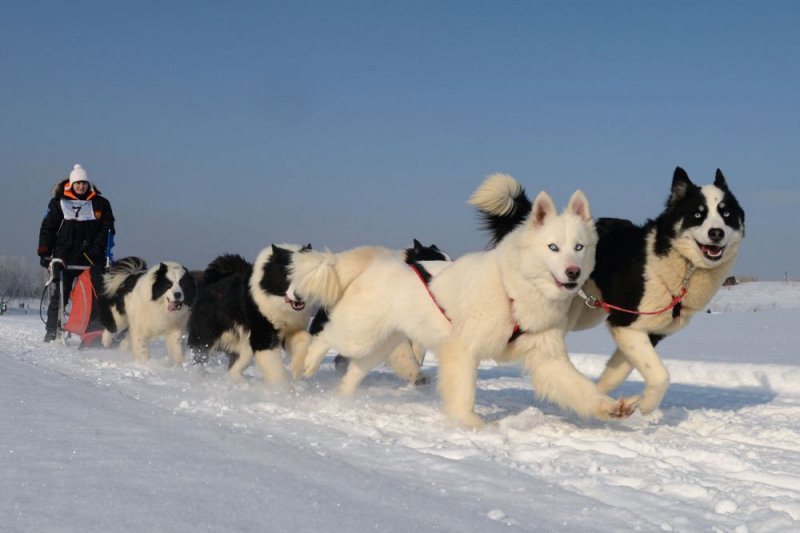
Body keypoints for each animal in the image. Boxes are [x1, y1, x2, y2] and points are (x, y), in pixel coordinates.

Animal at [186, 244, 314, 386]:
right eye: (287, 275)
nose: (299, 295)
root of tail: (212, 282)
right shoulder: (263, 336)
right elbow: (275, 369)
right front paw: (283, 388)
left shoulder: (290, 330)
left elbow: (306, 339)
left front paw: (297, 369)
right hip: (206, 336)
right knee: (200, 358)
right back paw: (196, 377)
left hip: (244, 346)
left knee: (234, 369)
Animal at [290, 175, 636, 428]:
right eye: (553, 247)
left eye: (579, 247)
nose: (573, 272)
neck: (513, 289)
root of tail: (378, 260)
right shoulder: (463, 349)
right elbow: (464, 392)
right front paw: (471, 423)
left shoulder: (547, 357)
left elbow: (580, 387)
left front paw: (611, 407)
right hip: (361, 334)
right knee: (324, 338)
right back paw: (306, 365)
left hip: (382, 344)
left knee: (355, 370)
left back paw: (342, 399)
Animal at [476, 166, 744, 412]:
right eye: (697, 215)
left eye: (726, 214)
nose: (716, 232)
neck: (678, 264)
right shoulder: (625, 321)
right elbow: (661, 375)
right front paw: (646, 405)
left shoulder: (643, 331)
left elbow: (619, 372)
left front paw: (606, 400)